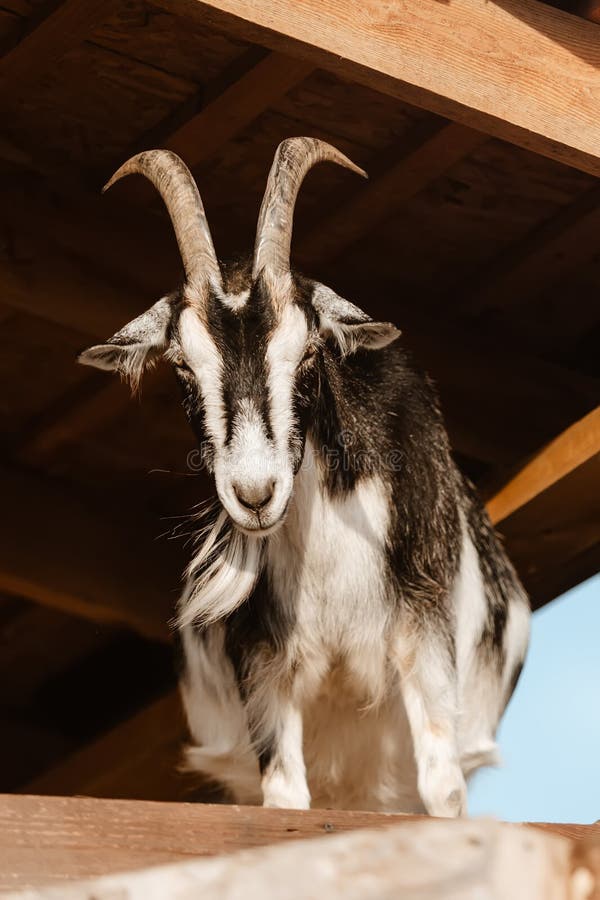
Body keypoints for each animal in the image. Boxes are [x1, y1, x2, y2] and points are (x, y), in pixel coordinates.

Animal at [79, 138, 530, 815]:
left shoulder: (425, 628)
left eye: (312, 351)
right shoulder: (263, 664)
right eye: (181, 366)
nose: (255, 494)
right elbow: (285, 800)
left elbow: (443, 789)